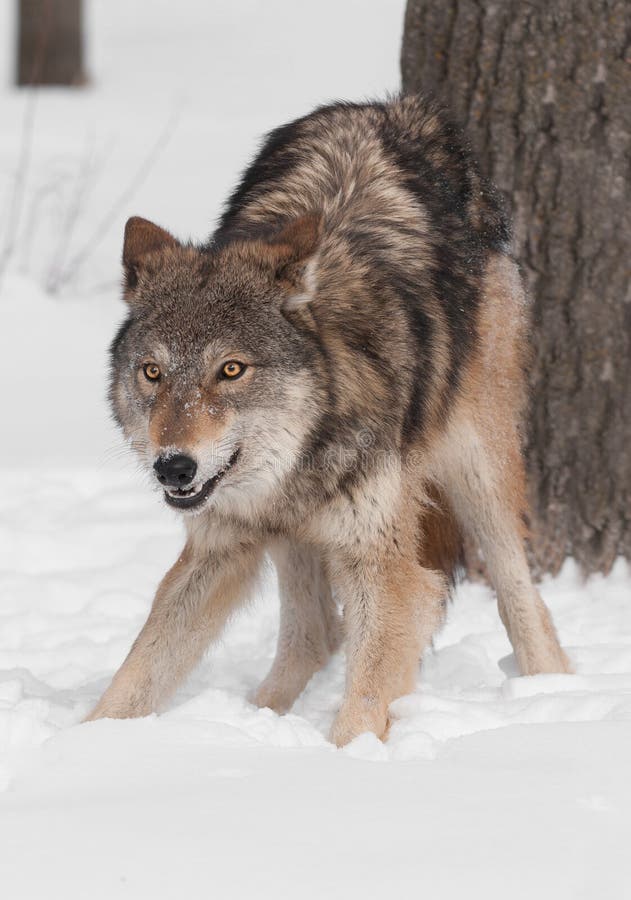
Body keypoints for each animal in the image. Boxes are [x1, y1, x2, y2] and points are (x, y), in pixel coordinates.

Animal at [86, 95, 570, 745]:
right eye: (153, 373)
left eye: (231, 370)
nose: (173, 468)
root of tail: (395, 108)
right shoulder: (220, 546)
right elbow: (137, 672)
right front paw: (85, 741)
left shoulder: (381, 565)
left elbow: (364, 701)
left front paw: (349, 758)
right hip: (295, 537)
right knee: (316, 635)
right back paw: (259, 719)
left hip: (476, 469)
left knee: (522, 598)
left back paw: (551, 692)